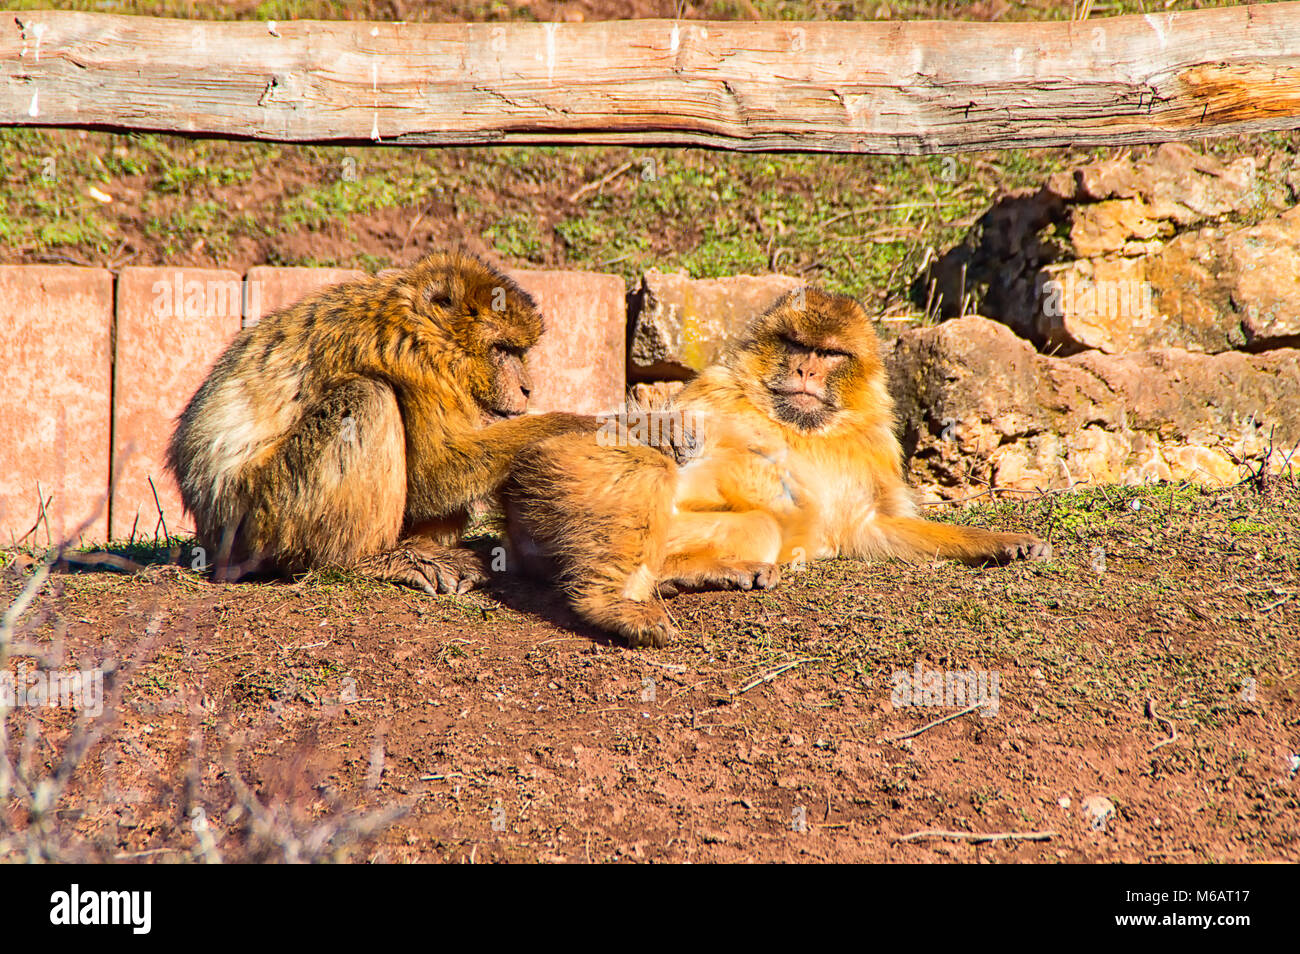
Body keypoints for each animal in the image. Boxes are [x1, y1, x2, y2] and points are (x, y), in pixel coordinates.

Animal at [167, 250, 597, 594]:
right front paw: (586, 424)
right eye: (502, 350)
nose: (527, 387)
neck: (415, 319)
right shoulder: (414, 360)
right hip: (265, 515)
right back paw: (363, 560)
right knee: (370, 396)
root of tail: (210, 527)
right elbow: (434, 476)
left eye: (519, 351)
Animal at [501, 286, 1050, 647]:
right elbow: (647, 434)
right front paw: (660, 429)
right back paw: (611, 601)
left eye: (830, 354)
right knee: (640, 468)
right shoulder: (716, 389)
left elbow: (876, 528)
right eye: (797, 347)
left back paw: (687, 577)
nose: (806, 370)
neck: (803, 426)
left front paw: (997, 542)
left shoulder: (874, 444)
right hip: (549, 476)